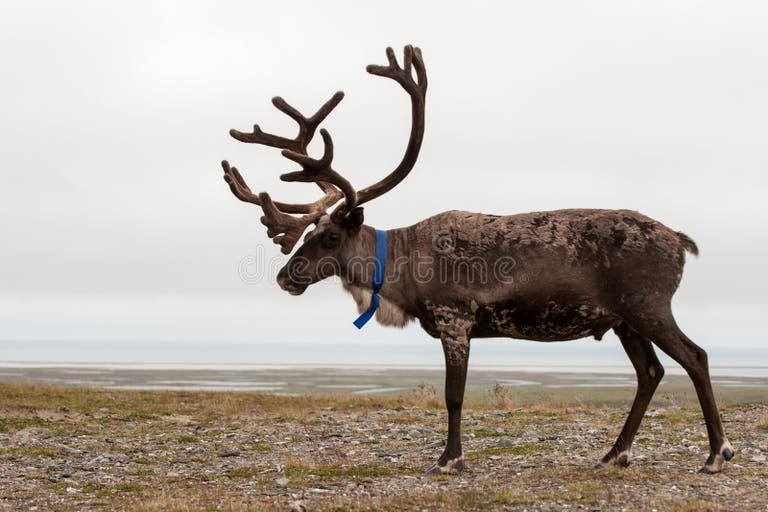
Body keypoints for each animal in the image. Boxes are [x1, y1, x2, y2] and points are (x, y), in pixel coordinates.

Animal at [220, 45, 733, 475]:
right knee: (651, 372)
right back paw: (614, 454)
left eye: (328, 236)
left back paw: (715, 454)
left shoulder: (455, 318)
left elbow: (454, 396)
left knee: (695, 357)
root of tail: (680, 241)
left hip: (648, 306)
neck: (402, 267)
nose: (285, 276)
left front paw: (449, 459)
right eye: (307, 232)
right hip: (625, 319)